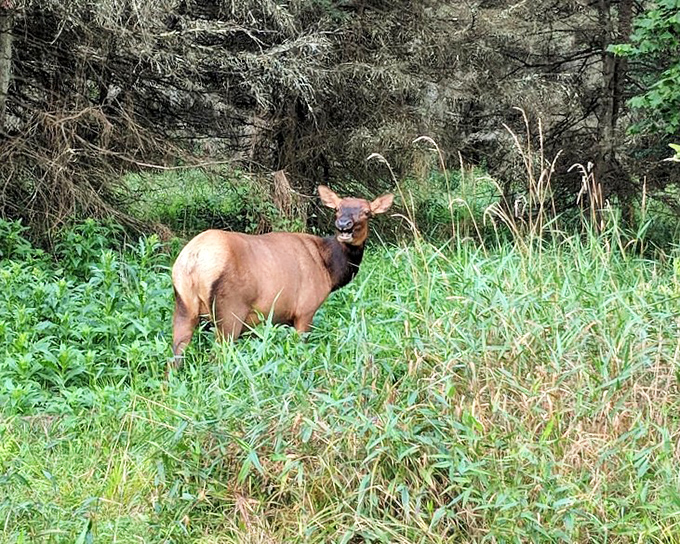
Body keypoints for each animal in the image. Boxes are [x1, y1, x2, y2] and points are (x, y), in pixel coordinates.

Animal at [170, 185, 393, 363]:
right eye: (337, 209)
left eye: (367, 212)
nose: (344, 225)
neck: (330, 272)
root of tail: (193, 260)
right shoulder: (305, 309)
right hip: (229, 309)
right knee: (217, 356)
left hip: (184, 304)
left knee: (176, 356)